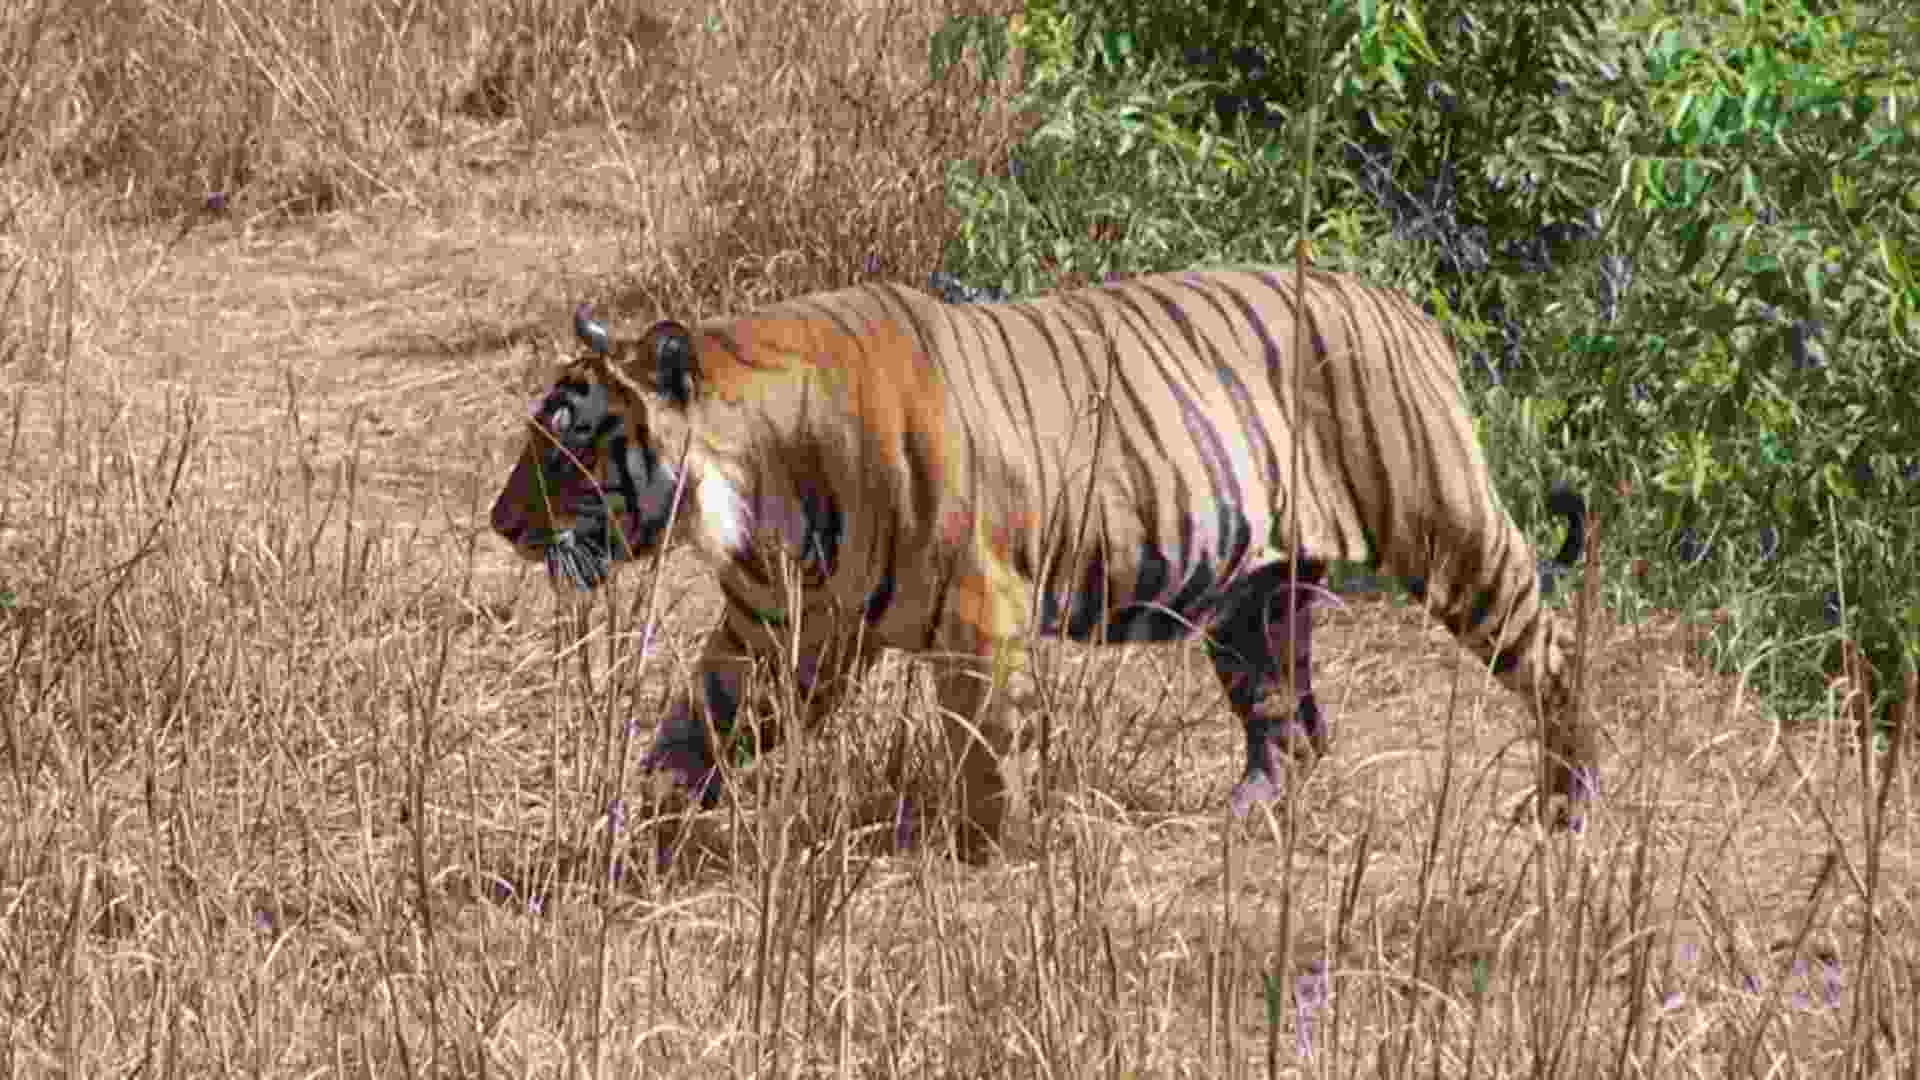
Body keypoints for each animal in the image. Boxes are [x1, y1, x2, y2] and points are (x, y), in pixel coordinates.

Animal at [489, 268, 1597, 859]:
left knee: (1549, 649)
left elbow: (987, 749)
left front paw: (988, 860)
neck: (752, 487)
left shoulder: (981, 615)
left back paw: (1566, 803)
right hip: (1256, 600)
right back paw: (1247, 816)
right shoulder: (774, 634)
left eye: (568, 443)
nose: (501, 522)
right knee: (1286, 718)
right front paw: (634, 840)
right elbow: (693, 729)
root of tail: (1406, 304)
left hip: (1446, 527)